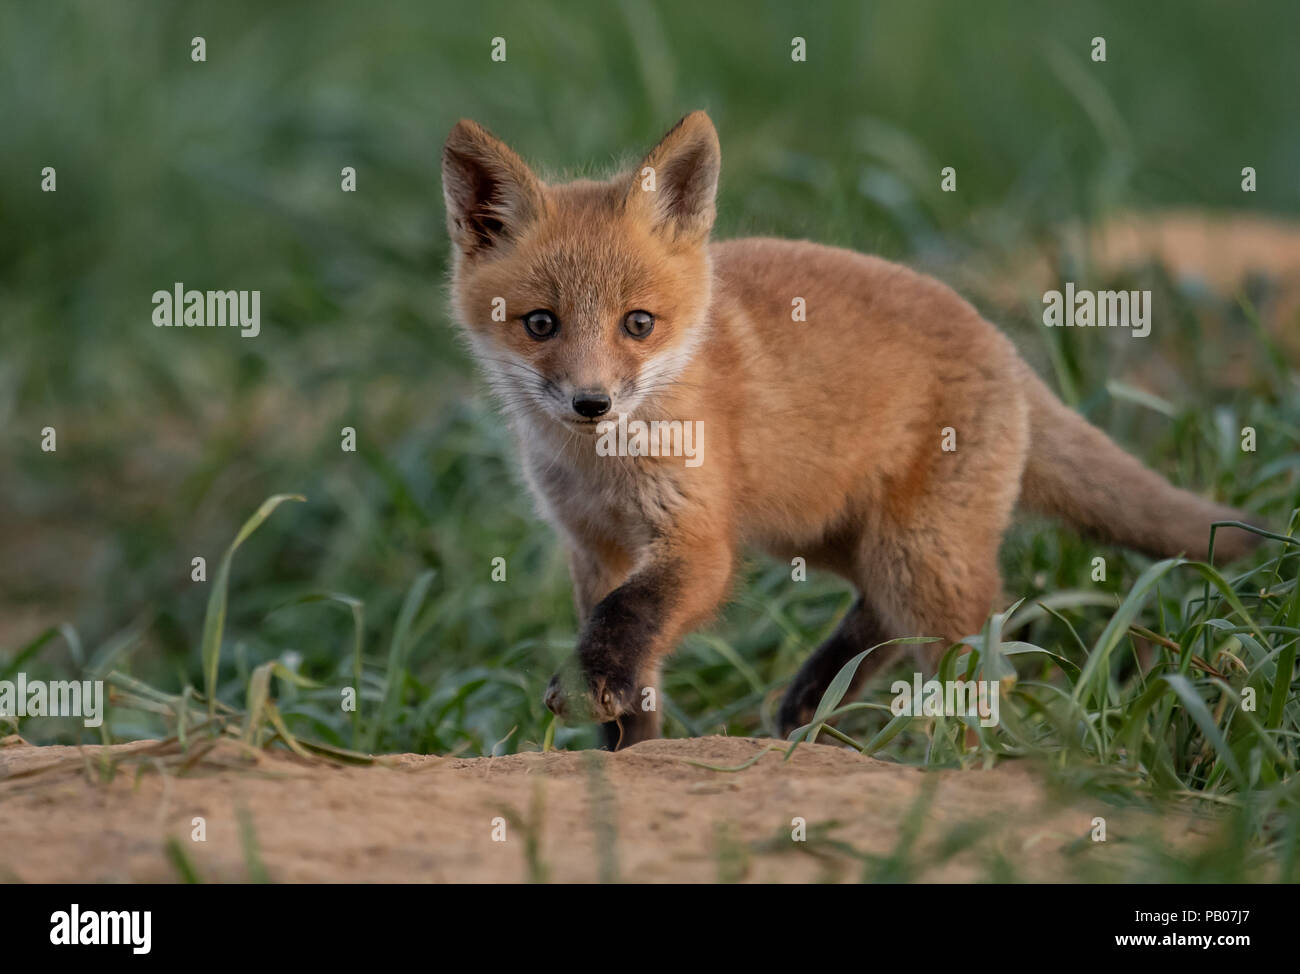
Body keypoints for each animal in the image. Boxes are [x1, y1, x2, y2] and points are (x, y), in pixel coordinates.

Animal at [441, 110, 1262, 750]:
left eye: (638, 324)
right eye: (540, 324)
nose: (593, 403)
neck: (602, 467)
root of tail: (1002, 340)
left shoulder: (700, 542)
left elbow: (631, 617)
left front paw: (597, 695)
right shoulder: (594, 547)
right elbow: (630, 653)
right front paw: (629, 748)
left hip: (918, 556)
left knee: (978, 661)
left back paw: (960, 760)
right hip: (830, 534)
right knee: (881, 611)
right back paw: (816, 698)